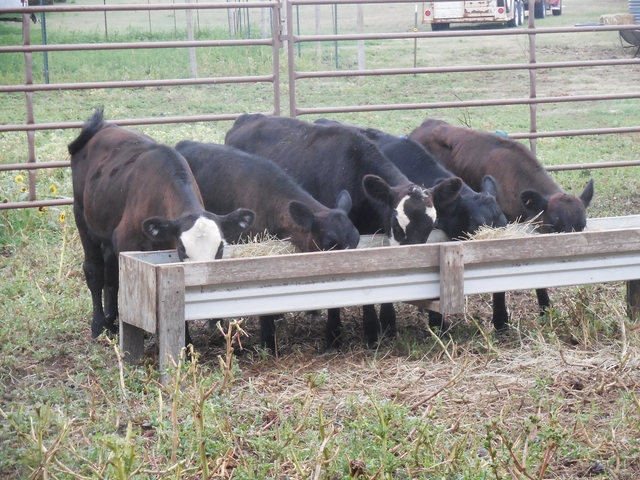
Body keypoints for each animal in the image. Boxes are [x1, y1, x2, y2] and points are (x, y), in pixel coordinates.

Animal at [69, 108, 255, 344]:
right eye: (184, 249)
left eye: (220, 248)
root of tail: (101, 129)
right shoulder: (127, 242)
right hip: (81, 215)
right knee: (94, 271)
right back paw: (99, 325)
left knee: (110, 275)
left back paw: (111, 320)